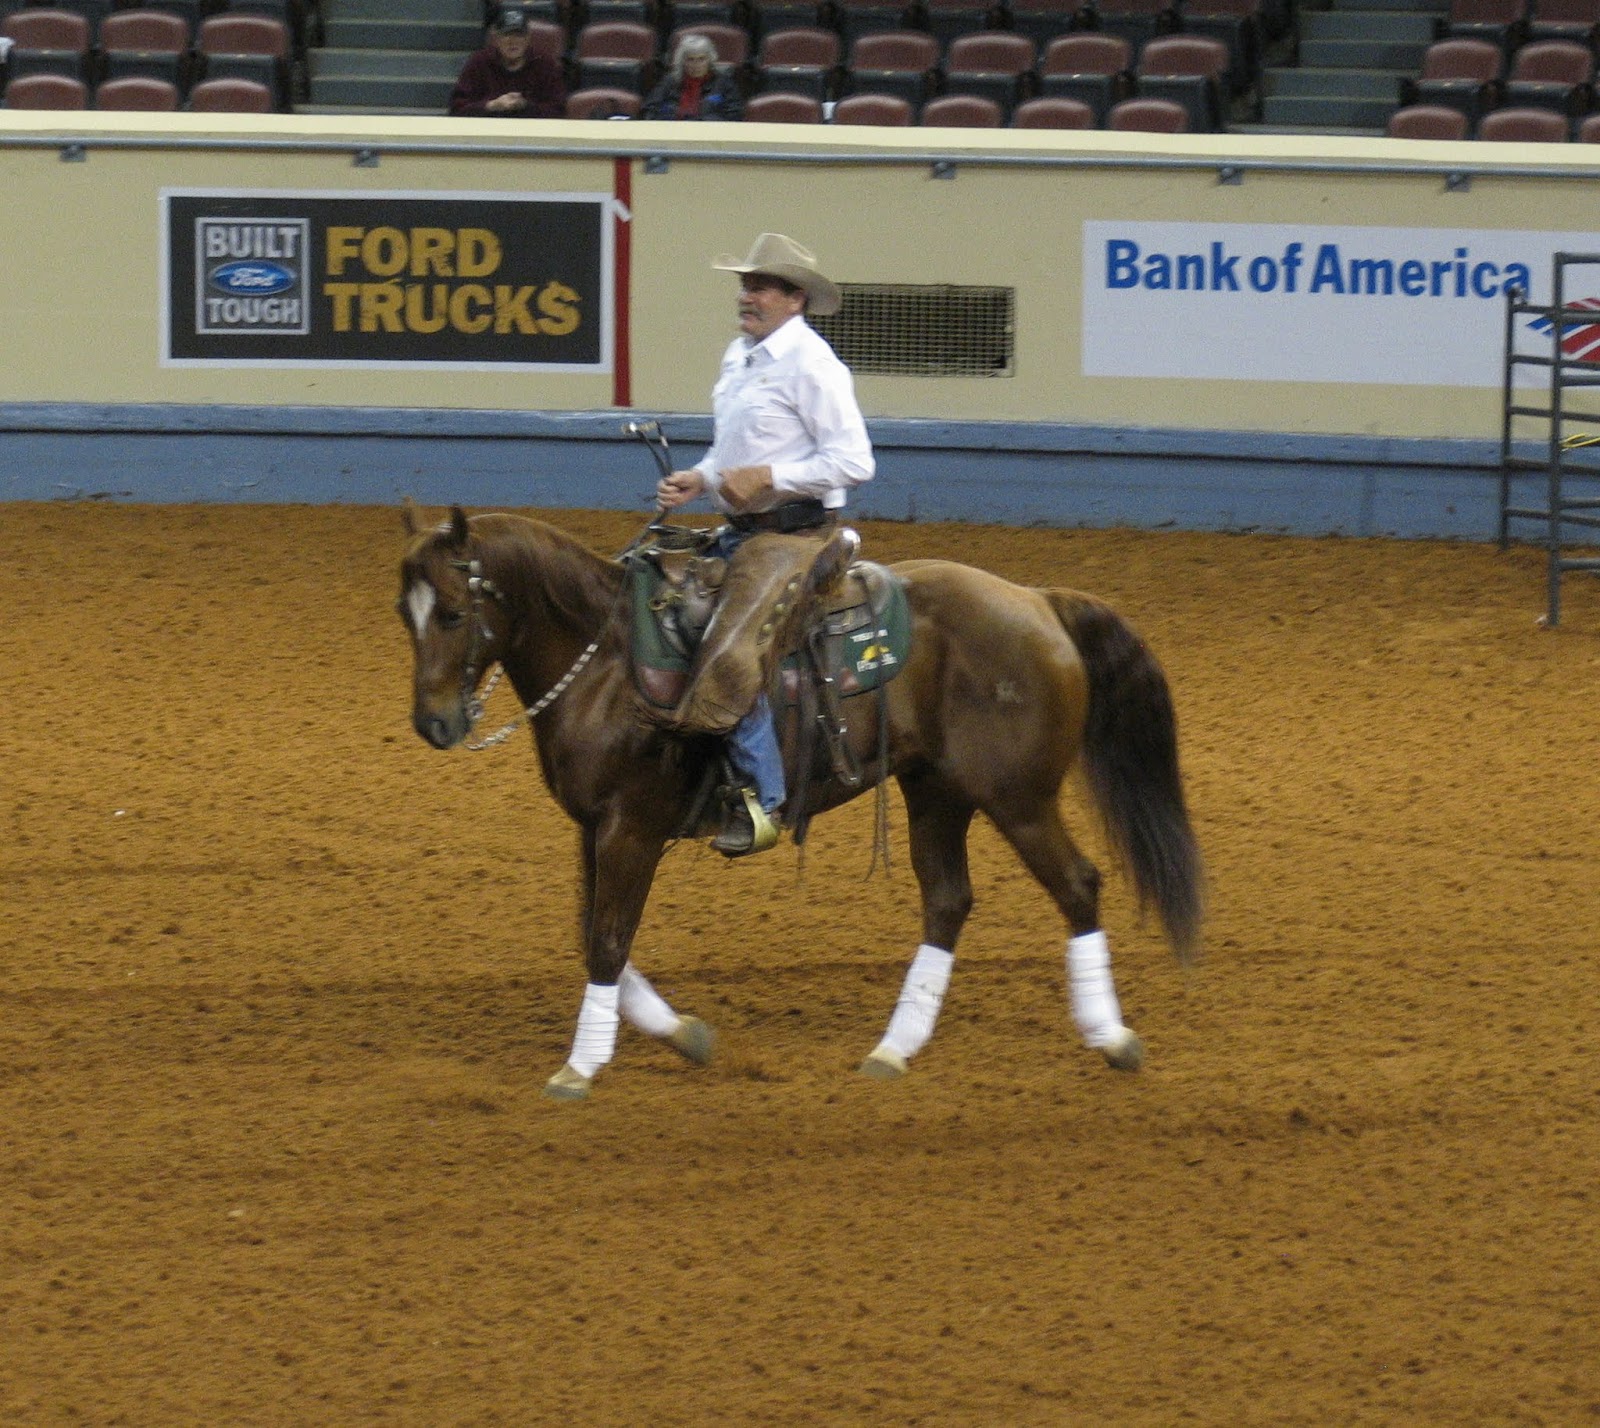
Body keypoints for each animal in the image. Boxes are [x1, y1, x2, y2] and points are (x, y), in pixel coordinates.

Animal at [398, 505, 1203, 1100]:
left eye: (453, 614)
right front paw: (683, 1033)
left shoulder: (629, 828)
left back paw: (1110, 1037)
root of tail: (1040, 602)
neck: (610, 669)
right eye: (405, 613)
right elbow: (595, 935)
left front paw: (580, 1066)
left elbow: (606, 939)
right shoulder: (594, 826)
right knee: (948, 900)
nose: (434, 725)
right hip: (935, 790)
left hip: (1018, 797)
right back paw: (893, 1048)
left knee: (1077, 885)